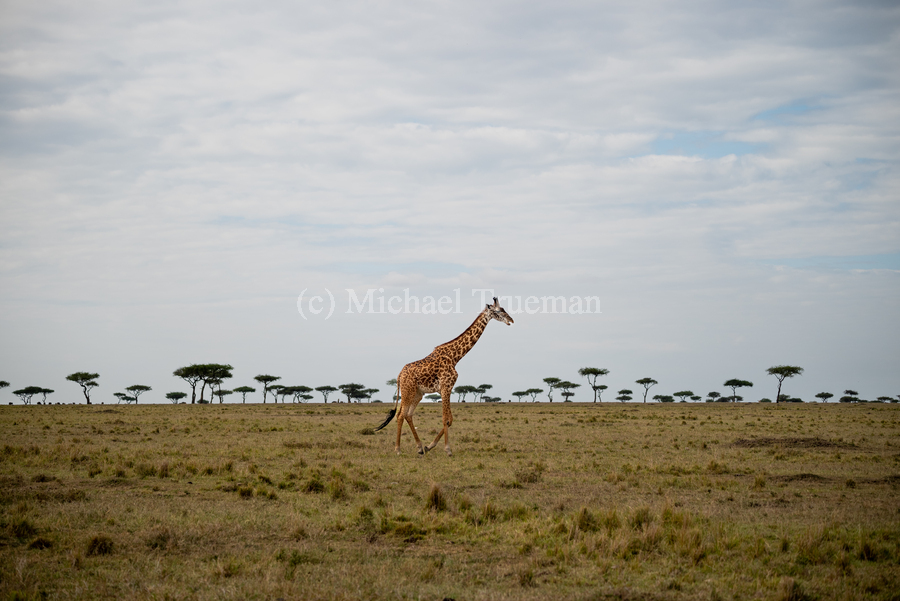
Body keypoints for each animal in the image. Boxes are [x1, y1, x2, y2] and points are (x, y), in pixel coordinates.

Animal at [374, 297, 514, 456]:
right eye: (499, 311)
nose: (511, 320)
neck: (455, 357)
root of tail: (399, 376)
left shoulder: (446, 389)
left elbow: (450, 419)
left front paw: (429, 446)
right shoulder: (446, 387)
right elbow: (446, 419)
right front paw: (447, 449)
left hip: (418, 393)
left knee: (408, 414)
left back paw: (419, 448)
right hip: (408, 391)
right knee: (400, 415)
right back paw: (398, 449)